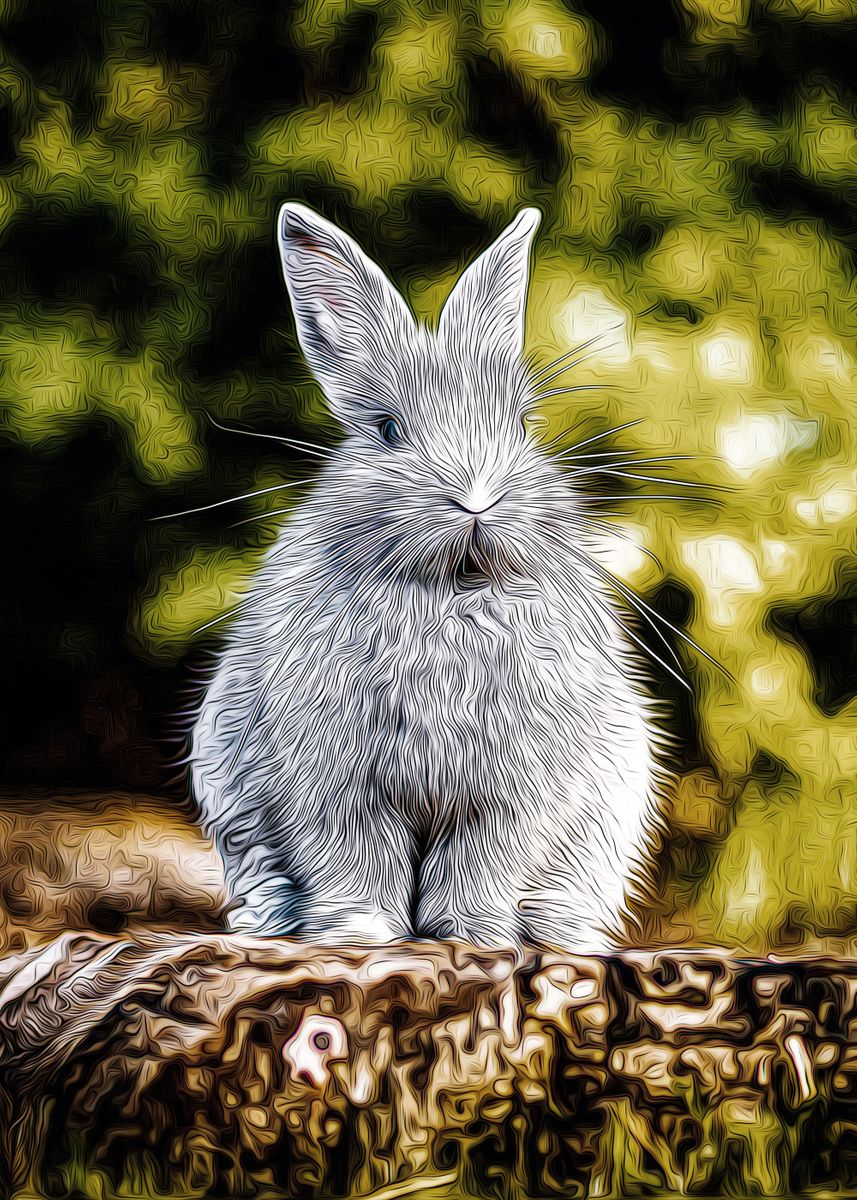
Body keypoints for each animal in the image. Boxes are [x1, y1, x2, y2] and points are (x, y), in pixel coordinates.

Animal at [190, 201, 669, 954]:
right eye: (387, 430)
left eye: (521, 423)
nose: (475, 498)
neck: (453, 593)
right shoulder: (333, 787)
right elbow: (352, 861)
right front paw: (358, 935)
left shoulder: (511, 796)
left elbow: (480, 866)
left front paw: (473, 937)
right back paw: (270, 923)